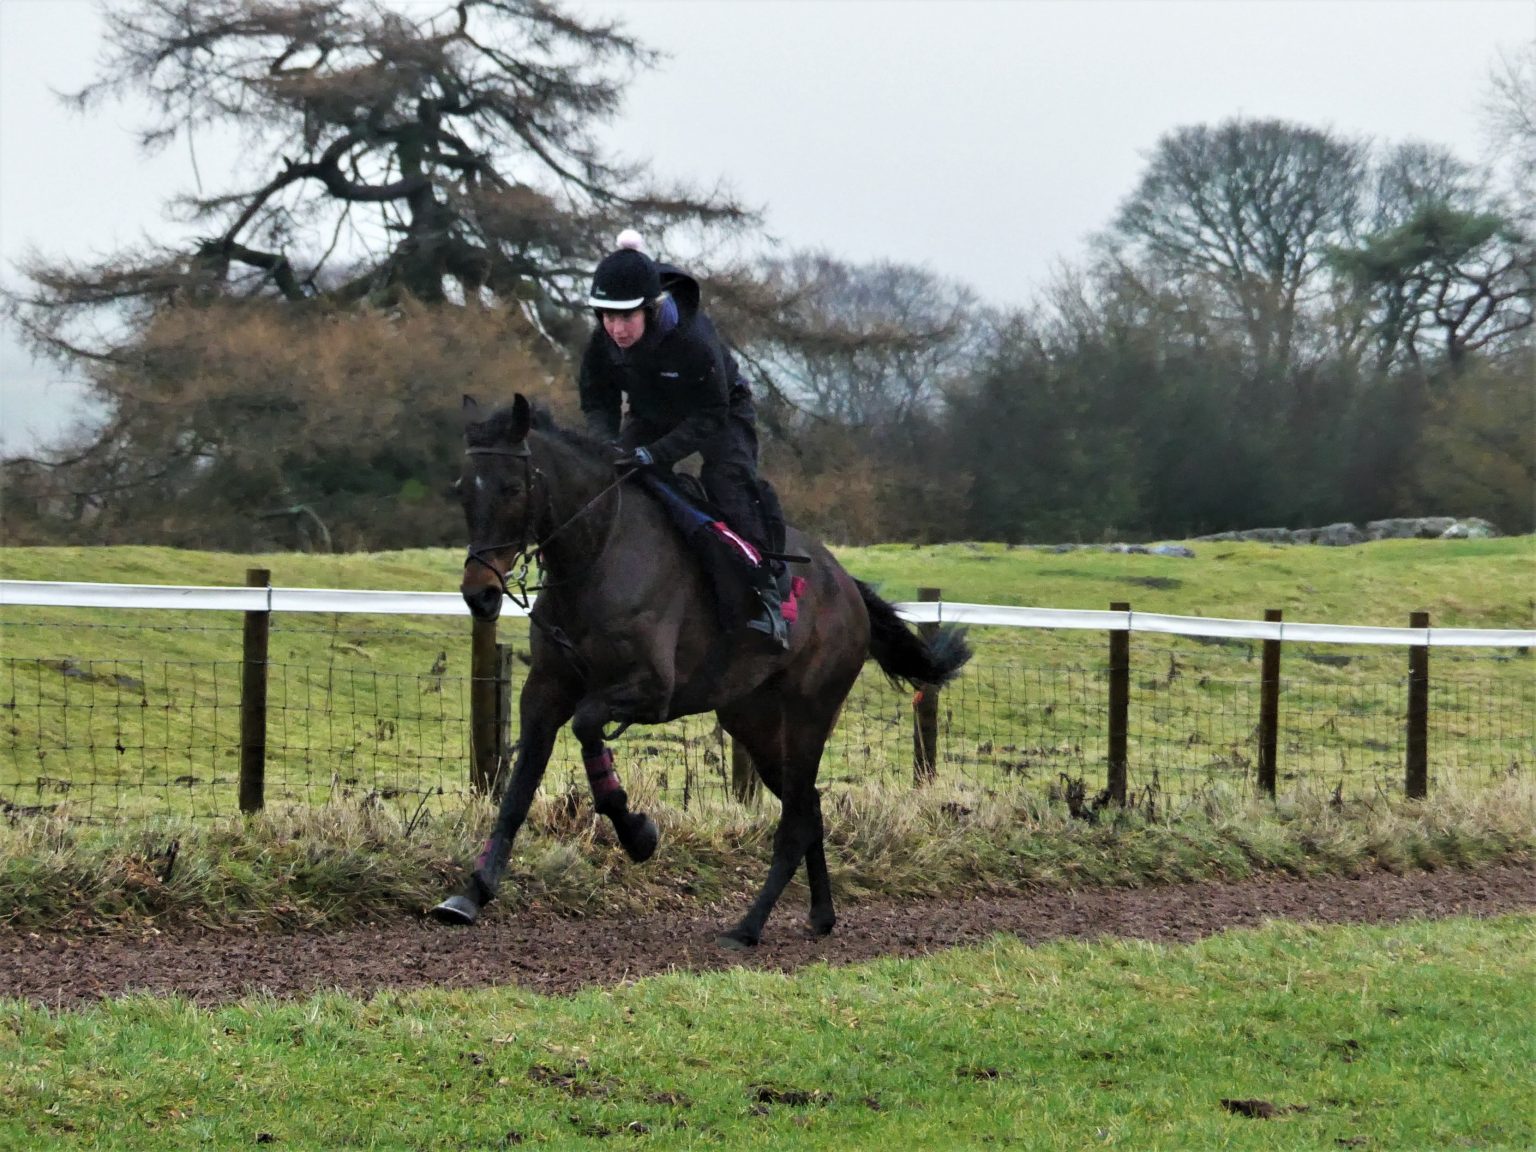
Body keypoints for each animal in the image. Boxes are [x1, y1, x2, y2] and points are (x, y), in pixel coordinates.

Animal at [432, 394, 972, 947]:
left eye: (512, 488)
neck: (598, 550)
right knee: (808, 806)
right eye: (462, 489)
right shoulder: (546, 689)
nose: (480, 594)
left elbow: (586, 726)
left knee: (797, 817)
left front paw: (638, 833)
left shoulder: (652, 690)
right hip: (754, 721)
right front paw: (472, 892)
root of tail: (847, 585)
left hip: (809, 712)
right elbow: (517, 792)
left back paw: (749, 925)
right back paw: (821, 914)